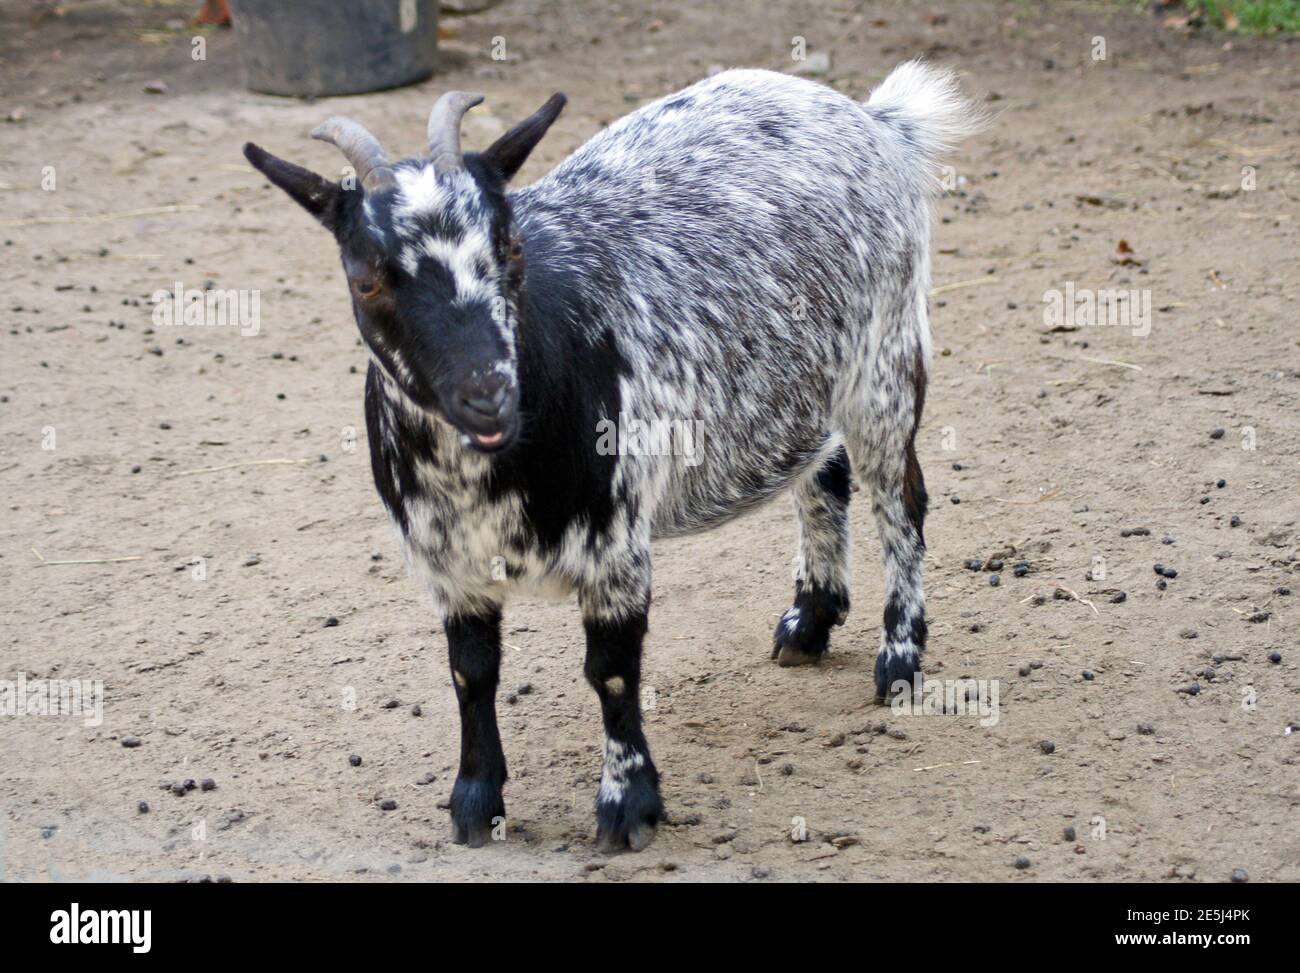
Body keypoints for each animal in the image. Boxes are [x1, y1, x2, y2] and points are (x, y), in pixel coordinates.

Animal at [244, 61, 981, 852]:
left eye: (510, 246)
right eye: (367, 277)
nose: (489, 394)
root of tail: (876, 120)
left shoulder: (616, 546)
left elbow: (613, 673)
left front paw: (628, 805)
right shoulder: (448, 565)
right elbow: (471, 672)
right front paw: (475, 801)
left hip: (887, 358)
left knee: (901, 498)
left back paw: (899, 659)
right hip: (805, 382)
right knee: (825, 472)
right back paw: (810, 621)